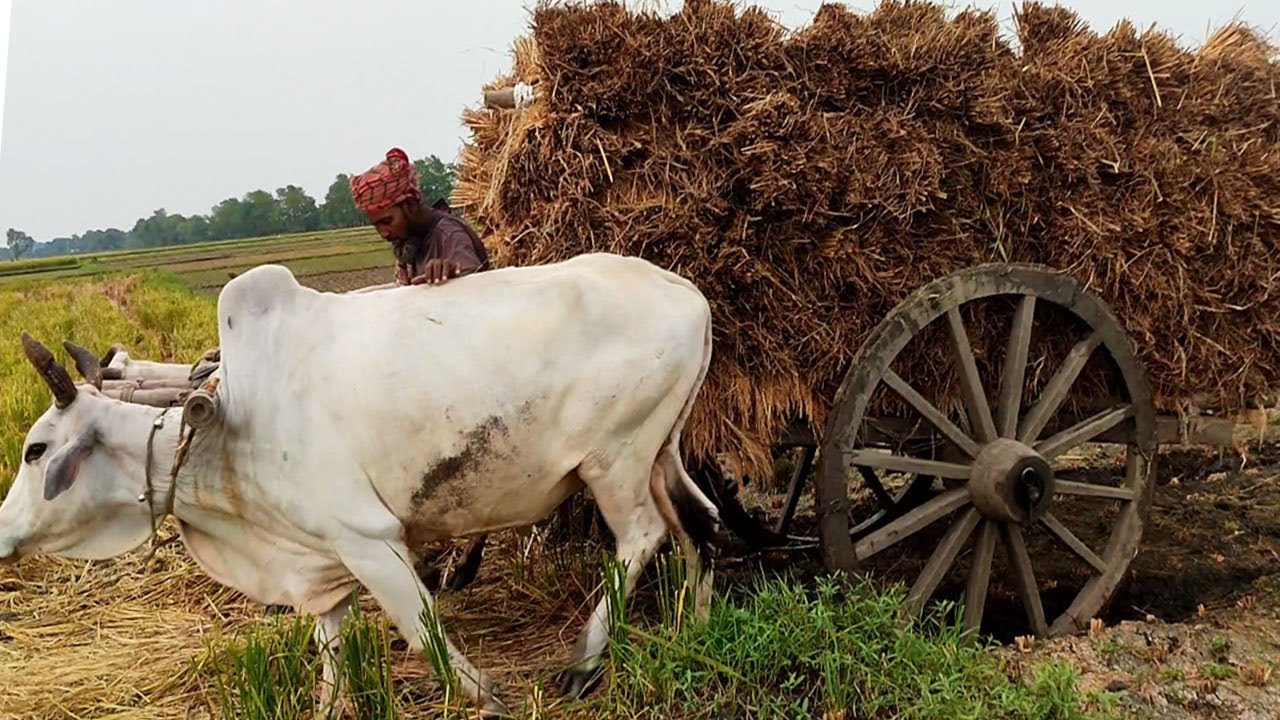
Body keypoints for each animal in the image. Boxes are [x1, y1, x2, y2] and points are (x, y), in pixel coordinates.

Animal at [0, 252, 721, 716]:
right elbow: (331, 657)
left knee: (642, 536)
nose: (3, 533)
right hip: (661, 452)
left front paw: (488, 696)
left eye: (36, 450)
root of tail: (689, 294)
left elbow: (422, 631)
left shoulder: (369, 539)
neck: (231, 424)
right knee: (699, 521)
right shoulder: (321, 561)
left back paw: (584, 662)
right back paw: (697, 625)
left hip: (615, 458)